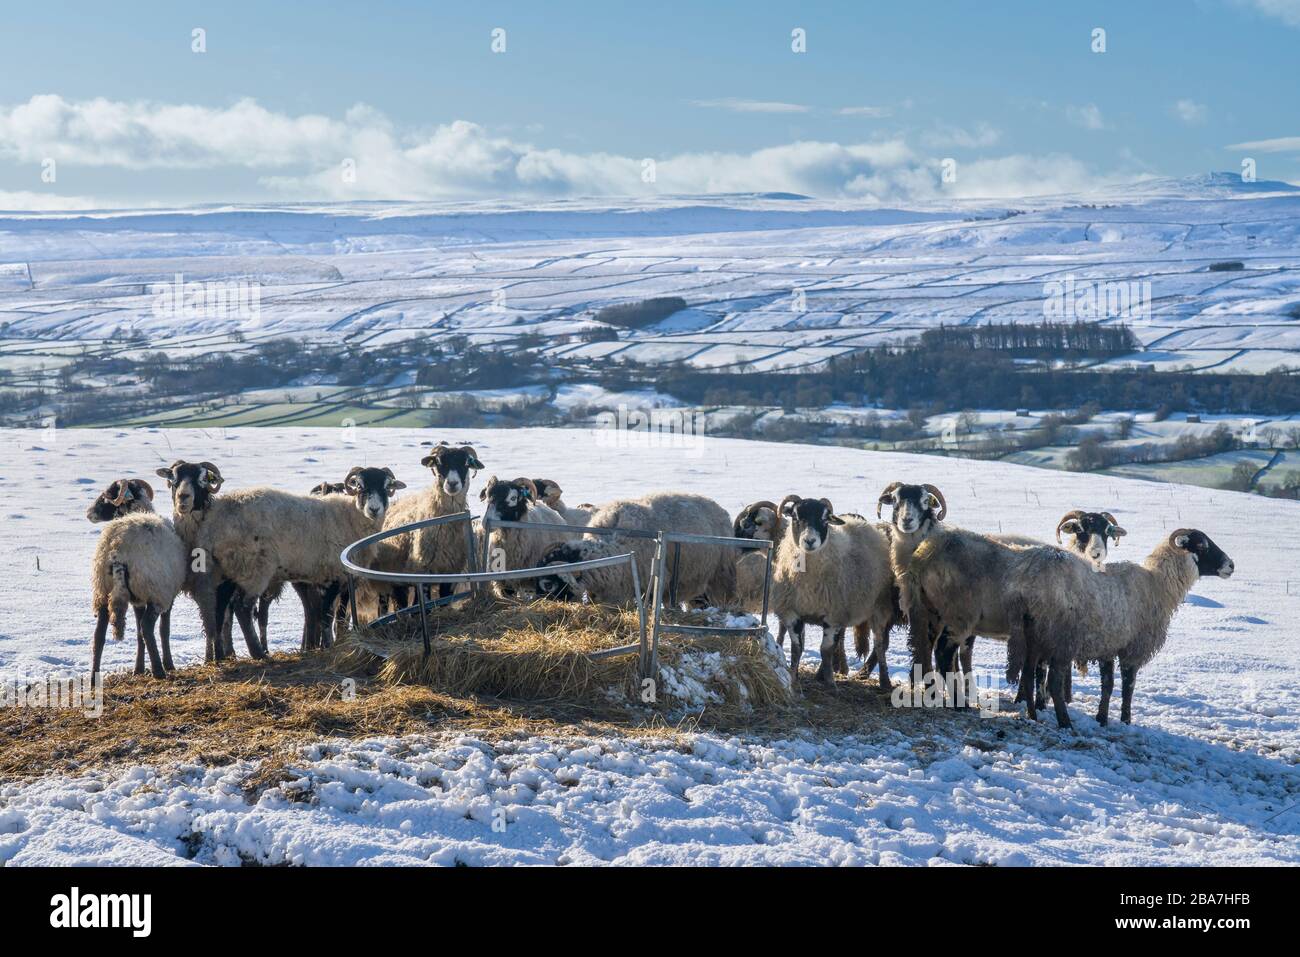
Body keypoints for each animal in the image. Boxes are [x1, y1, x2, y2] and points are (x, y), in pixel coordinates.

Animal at [155, 460, 404, 661]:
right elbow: (327, 618)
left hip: (227, 569)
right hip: (254, 567)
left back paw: (220, 656)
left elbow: (334, 617)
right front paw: (330, 646)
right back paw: (258, 653)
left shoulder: (336, 580)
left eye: (386, 487)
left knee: (220, 608)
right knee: (242, 608)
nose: (374, 509)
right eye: (360, 486)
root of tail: (215, 518)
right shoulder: (331, 576)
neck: (351, 517)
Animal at [769, 495, 895, 689]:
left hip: (878, 607)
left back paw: (884, 681)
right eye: (796, 517)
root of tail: (859, 522)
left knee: (880, 643)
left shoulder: (833, 616)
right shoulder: (792, 613)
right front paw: (793, 678)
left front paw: (830, 683)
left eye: (824, 519)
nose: (810, 541)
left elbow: (825, 650)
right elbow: (797, 648)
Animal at [1008, 529, 1234, 728]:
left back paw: (1033, 714)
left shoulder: (1108, 645)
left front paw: (1102, 719)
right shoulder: (1133, 648)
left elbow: (1108, 686)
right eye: (1202, 545)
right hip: (1062, 637)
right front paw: (1126, 720)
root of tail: (1033, 574)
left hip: (1035, 634)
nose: (1231, 565)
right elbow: (1128, 687)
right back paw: (1065, 722)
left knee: (1029, 674)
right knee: (1054, 681)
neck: (1157, 584)